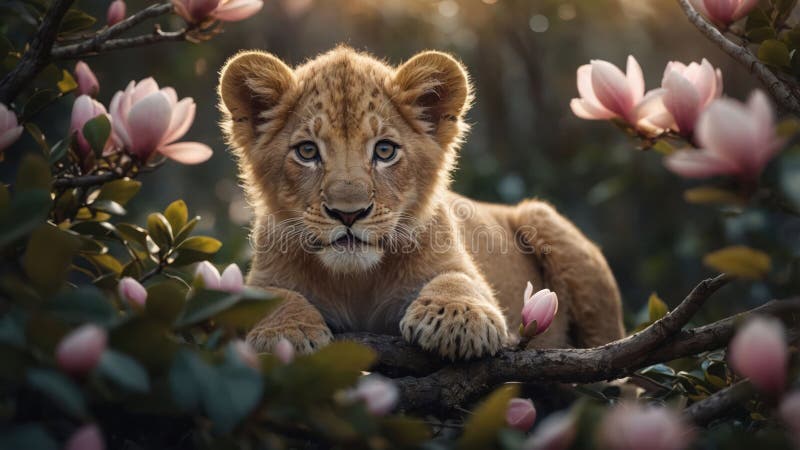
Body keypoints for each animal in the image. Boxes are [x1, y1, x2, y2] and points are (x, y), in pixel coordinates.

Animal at [217, 46, 625, 360]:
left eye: (384, 150)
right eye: (307, 152)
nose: (348, 213)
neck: (357, 281)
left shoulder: (458, 265)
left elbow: (458, 278)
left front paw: (456, 318)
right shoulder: (264, 274)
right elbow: (265, 294)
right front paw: (287, 333)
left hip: (543, 221)